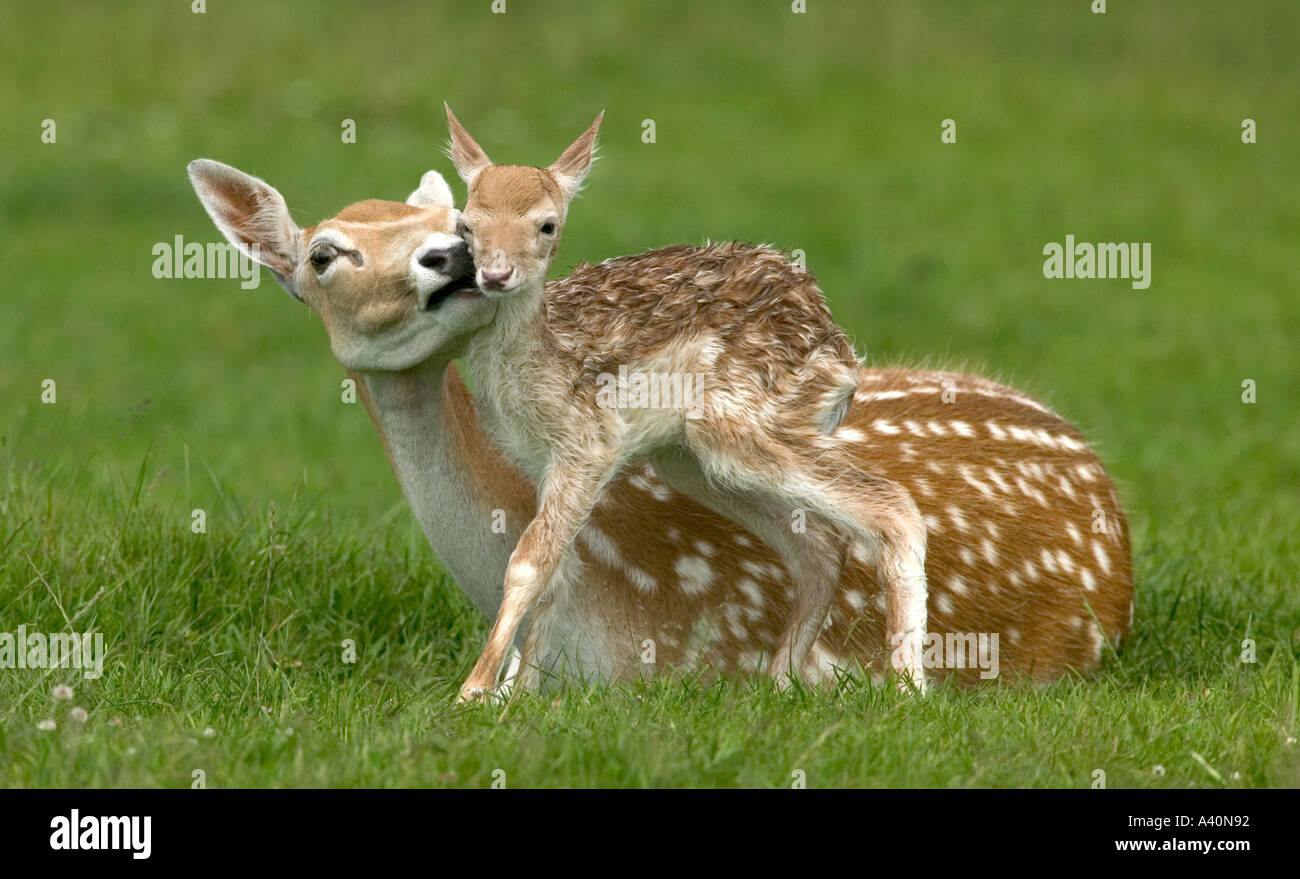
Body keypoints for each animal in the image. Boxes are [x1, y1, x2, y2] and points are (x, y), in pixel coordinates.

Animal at [186, 158, 1135, 697]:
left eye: (445, 225)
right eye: (323, 254)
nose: (450, 259)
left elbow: (536, 555)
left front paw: (473, 693)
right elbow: (548, 564)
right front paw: (505, 689)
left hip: (729, 438)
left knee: (880, 511)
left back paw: (900, 686)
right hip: (701, 456)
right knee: (820, 540)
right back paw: (791, 681)